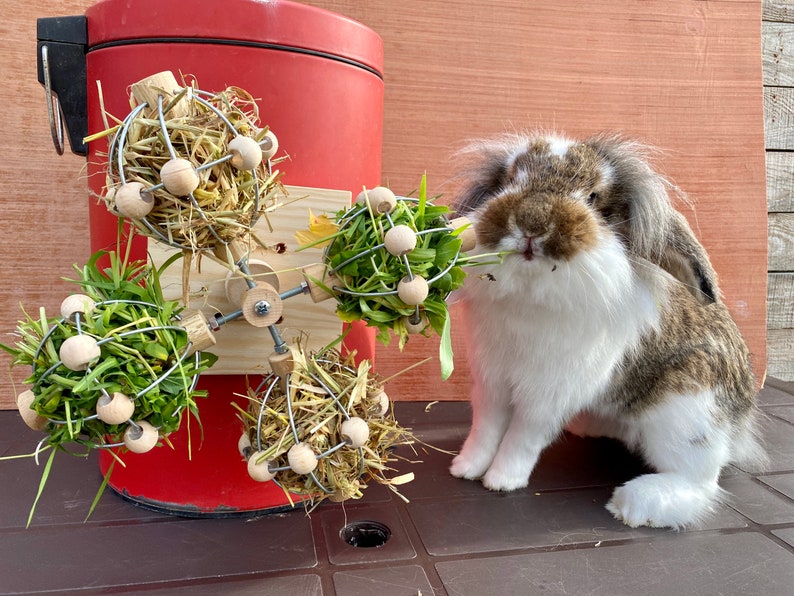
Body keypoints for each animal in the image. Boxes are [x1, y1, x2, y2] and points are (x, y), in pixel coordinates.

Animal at [449, 131, 766, 529]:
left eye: (592, 197)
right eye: (508, 182)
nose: (532, 222)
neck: (532, 295)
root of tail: (741, 422)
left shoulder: (548, 394)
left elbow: (523, 435)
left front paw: (503, 479)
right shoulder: (491, 382)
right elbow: (486, 427)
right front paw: (465, 468)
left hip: (687, 415)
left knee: (701, 482)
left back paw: (635, 504)